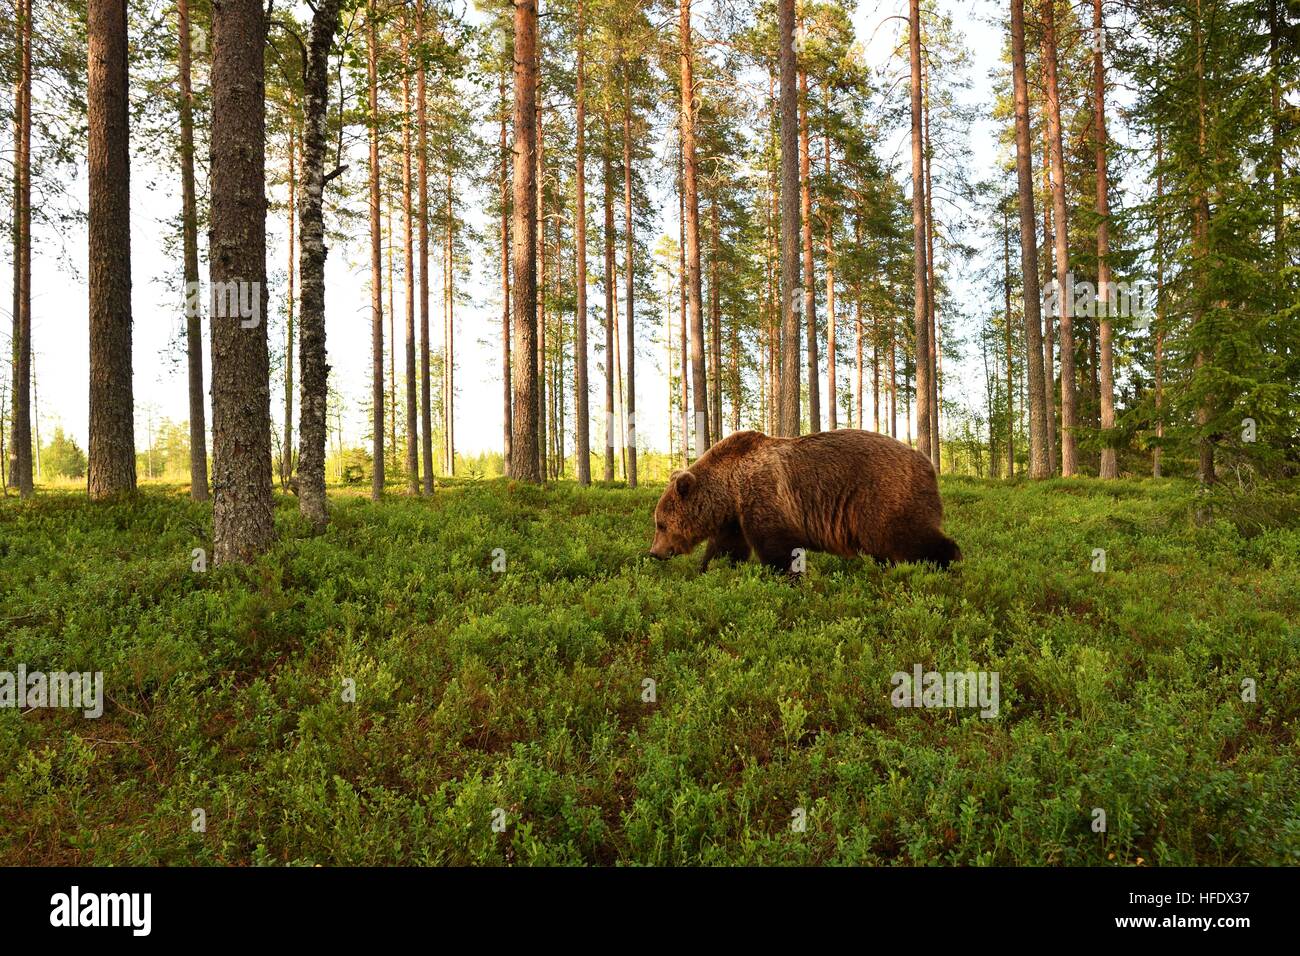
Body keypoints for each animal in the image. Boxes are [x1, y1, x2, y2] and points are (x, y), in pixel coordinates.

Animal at [648, 429, 961, 575]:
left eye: (660, 524)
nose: (654, 553)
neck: (729, 487)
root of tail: (926, 462)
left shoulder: (765, 496)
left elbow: (779, 548)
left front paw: (785, 577)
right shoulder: (734, 517)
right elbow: (726, 548)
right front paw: (706, 570)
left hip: (883, 496)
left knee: (909, 536)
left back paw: (948, 564)